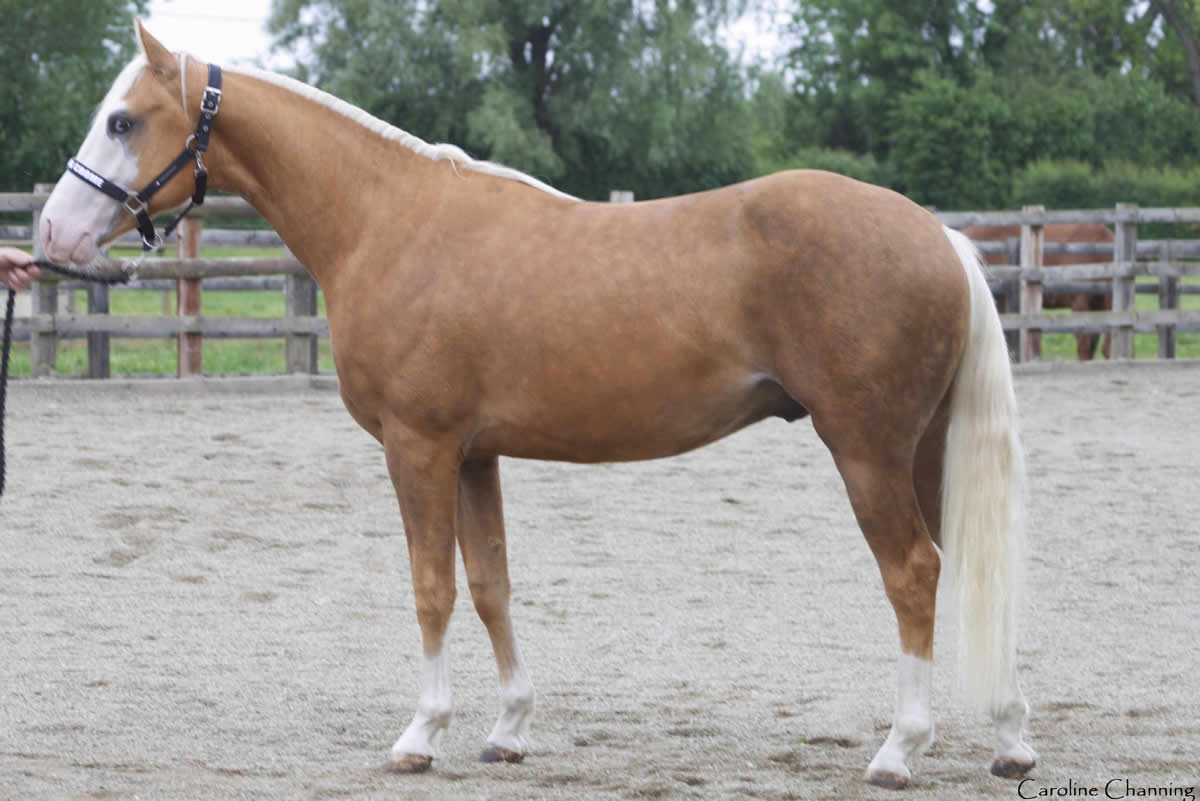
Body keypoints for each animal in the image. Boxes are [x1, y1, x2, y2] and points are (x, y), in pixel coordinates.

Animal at [37, 21, 1035, 789]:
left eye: (124, 119)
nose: (50, 233)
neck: (387, 223)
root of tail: (938, 235)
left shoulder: (419, 447)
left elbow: (432, 585)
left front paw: (420, 735)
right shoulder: (475, 453)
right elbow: (490, 584)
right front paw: (507, 729)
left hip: (866, 446)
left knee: (911, 570)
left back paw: (900, 750)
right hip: (922, 445)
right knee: (964, 567)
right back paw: (1010, 738)